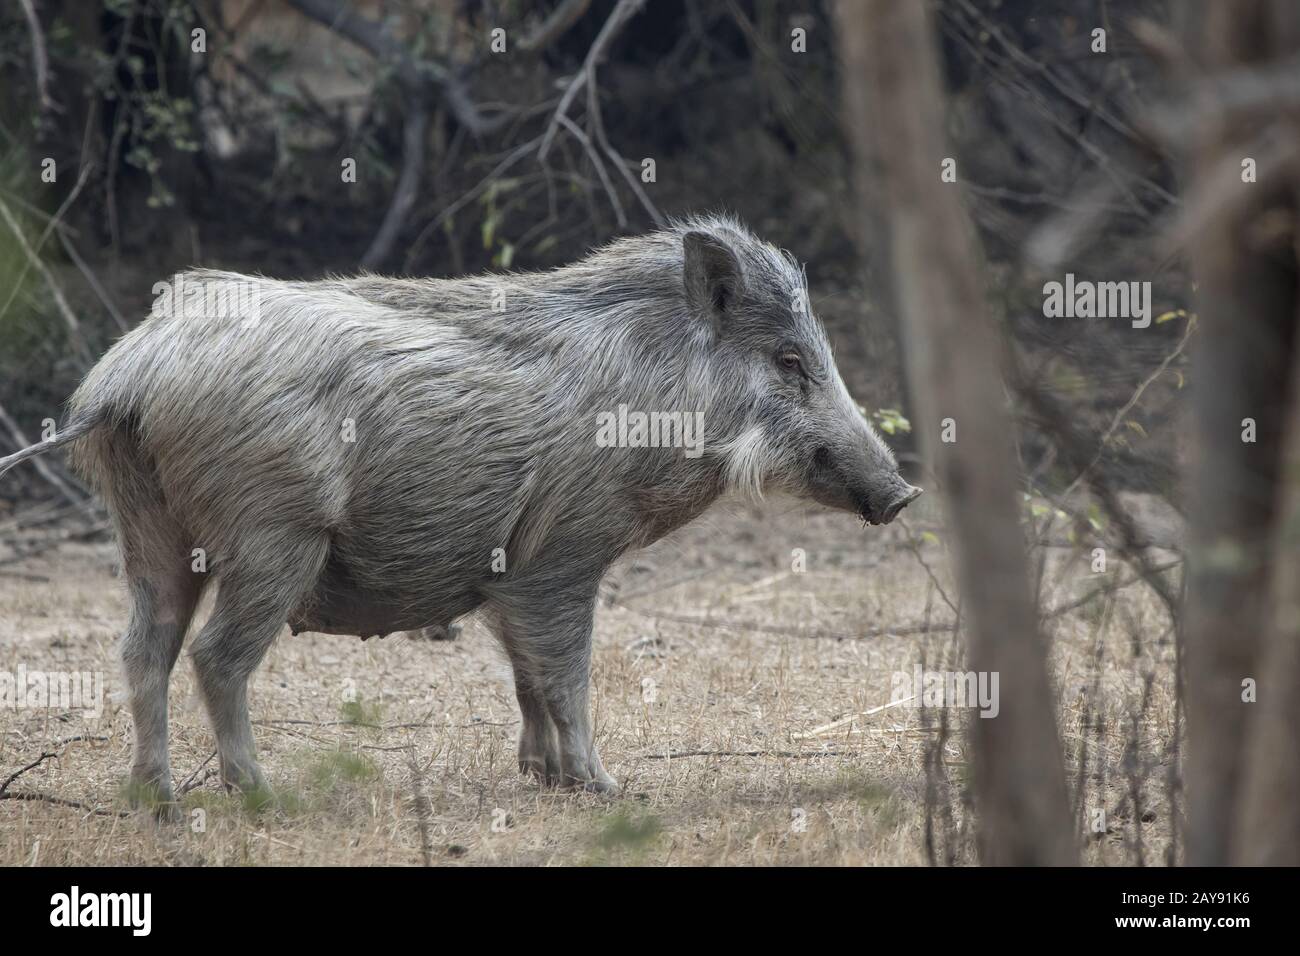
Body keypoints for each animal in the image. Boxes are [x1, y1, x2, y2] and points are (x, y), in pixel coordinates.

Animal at [0, 214, 920, 805]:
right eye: (790, 360)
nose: (903, 493)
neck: (652, 391)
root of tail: (129, 377)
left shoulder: (509, 576)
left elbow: (525, 679)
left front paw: (543, 778)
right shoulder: (565, 555)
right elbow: (566, 674)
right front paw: (609, 788)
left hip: (149, 532)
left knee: (142, 650)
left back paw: (154, 797)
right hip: (273, 535)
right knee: (215, 657)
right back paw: (261, 795)